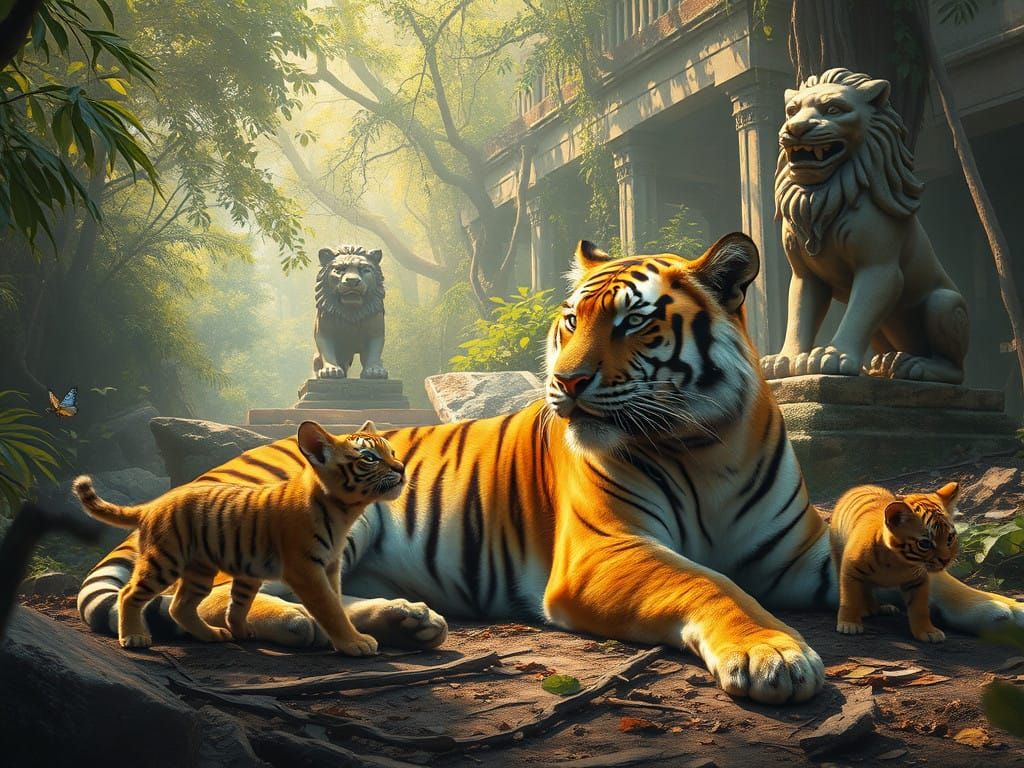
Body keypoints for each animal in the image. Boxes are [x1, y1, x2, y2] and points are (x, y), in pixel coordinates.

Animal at [73, 420, 403, 656]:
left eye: (392, 452)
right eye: (369, 458)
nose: (401, 468)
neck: (344, 511)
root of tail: (153, 504)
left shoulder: (330, 565)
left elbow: (336, 602)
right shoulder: (306, 569)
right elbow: (329, 607)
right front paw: (356, 643)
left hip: (202, 569)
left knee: (182, 606)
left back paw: (218, 634)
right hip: (164, 560)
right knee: (129, 593)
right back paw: (134, 637)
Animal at [830, 482, 959, 642]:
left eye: (950, 538)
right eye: (925, 544)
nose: (946, 559)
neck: (899, 562)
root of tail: (861, 486)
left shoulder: (918, 581)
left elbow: (920, 608)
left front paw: (928, 632)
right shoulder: (851, 570)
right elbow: (850, 599)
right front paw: (849, 624)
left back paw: (880, 608)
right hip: (838, 553)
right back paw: (866, 610)